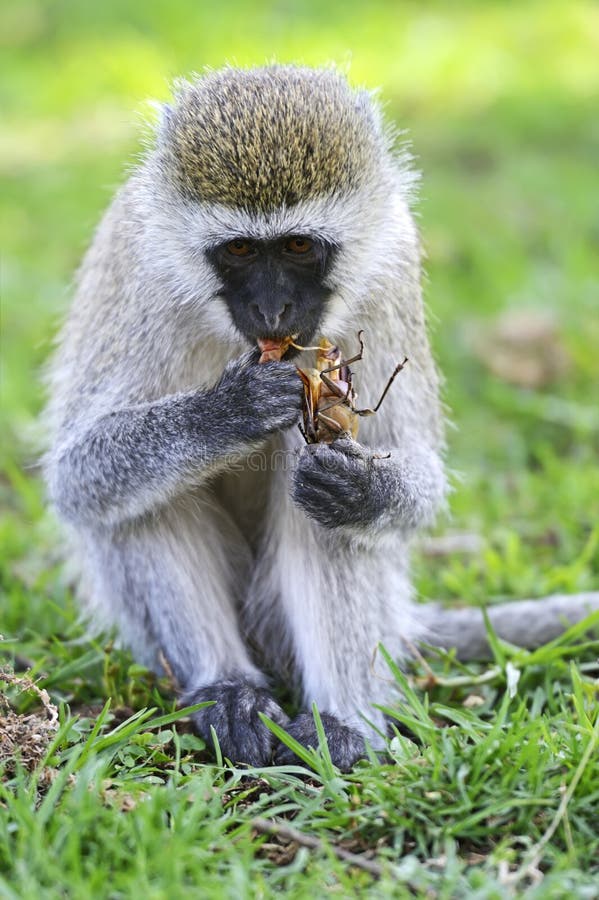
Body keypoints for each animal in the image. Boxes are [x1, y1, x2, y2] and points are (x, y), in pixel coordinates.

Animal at [43, 66, 599, 771]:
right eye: (241, 250)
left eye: (300, 245)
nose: (274, 311)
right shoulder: (139, 276)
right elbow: (78, 474)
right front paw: (229, 411)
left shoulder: (391, 275)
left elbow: (411, 476)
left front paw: (366, 488)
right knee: (144, 501)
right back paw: (229, 691)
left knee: (318, 505)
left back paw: (345, 726)